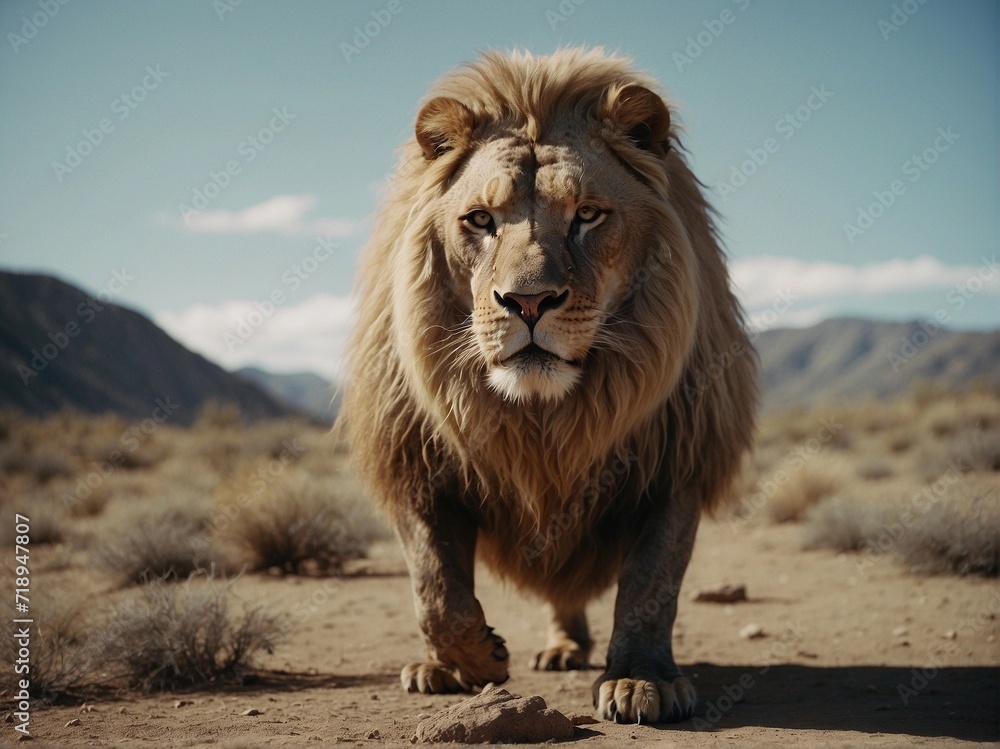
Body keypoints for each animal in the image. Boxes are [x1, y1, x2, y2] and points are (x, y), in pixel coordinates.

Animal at [340, 48, 756, 724]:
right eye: (480, 219)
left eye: (587, 214)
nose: (528, 301)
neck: (544, 413)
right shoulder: (413, 462)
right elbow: (435, 589)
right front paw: (475, 661)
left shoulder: (677, 461)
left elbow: (651, 587)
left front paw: (641, 680)